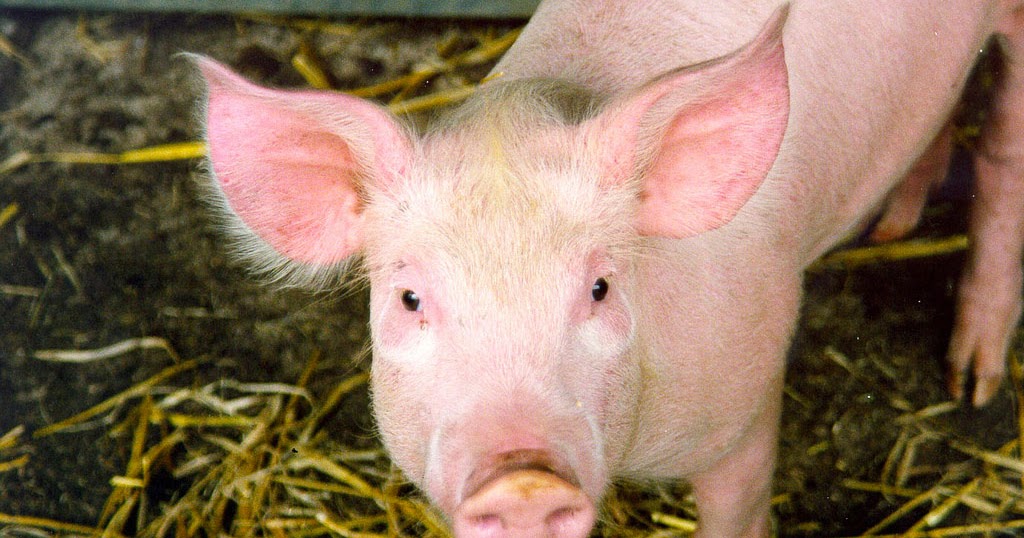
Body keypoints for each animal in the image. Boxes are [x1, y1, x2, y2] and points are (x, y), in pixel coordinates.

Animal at [191, 0, 1024, 535]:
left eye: (599, 287)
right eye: (409, 299)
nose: (523, 475)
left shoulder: (748, 398)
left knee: (1001, 160)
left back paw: (972, 383)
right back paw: (895, 227)